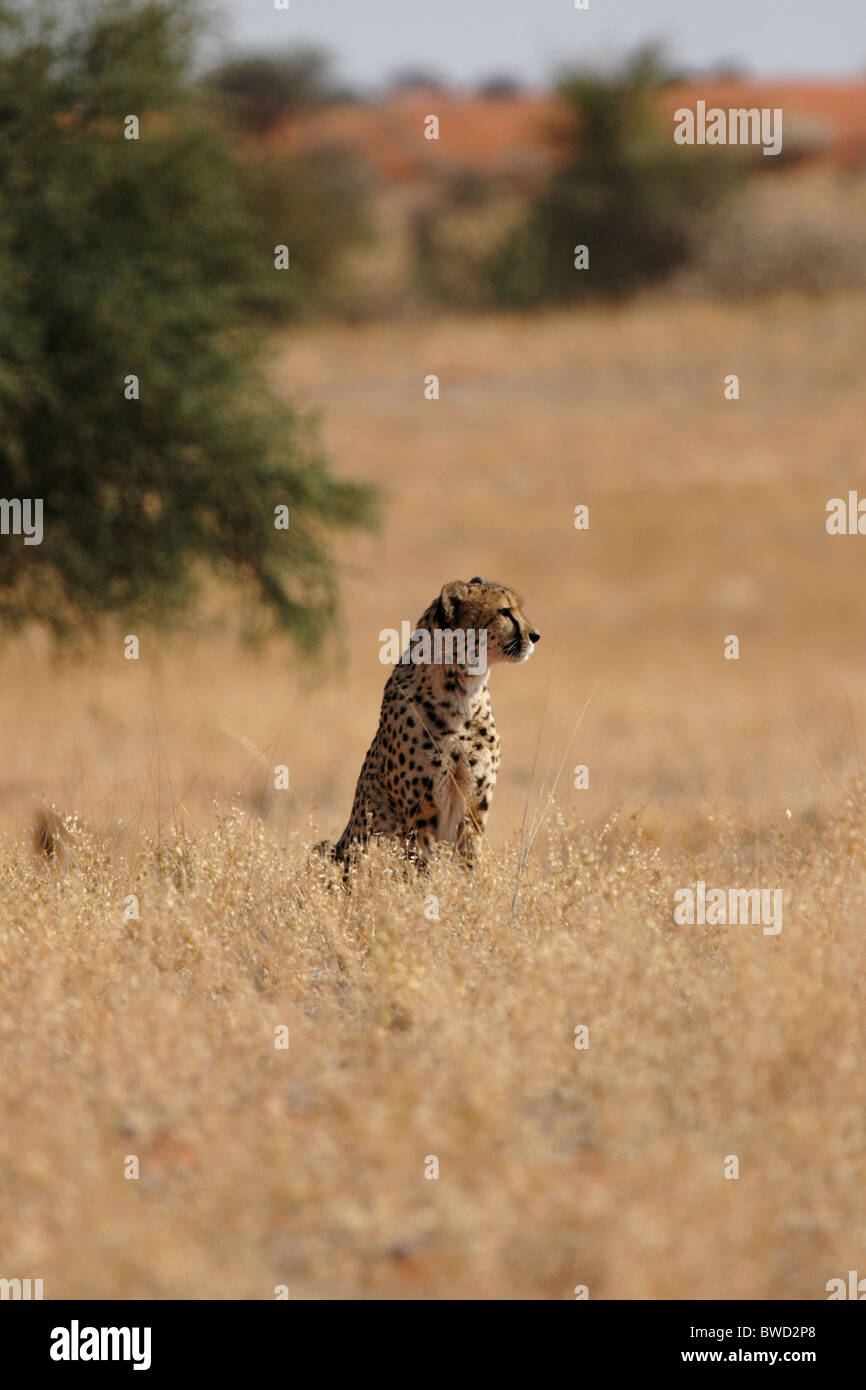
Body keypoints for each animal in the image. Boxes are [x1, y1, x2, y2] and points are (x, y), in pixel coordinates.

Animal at [321, 577, 540, 867]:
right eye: (504, 611)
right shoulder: (419, 816)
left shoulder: (474, 808)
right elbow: (422, 865)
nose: (535, 635)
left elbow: (469, 863)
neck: (462, 694)